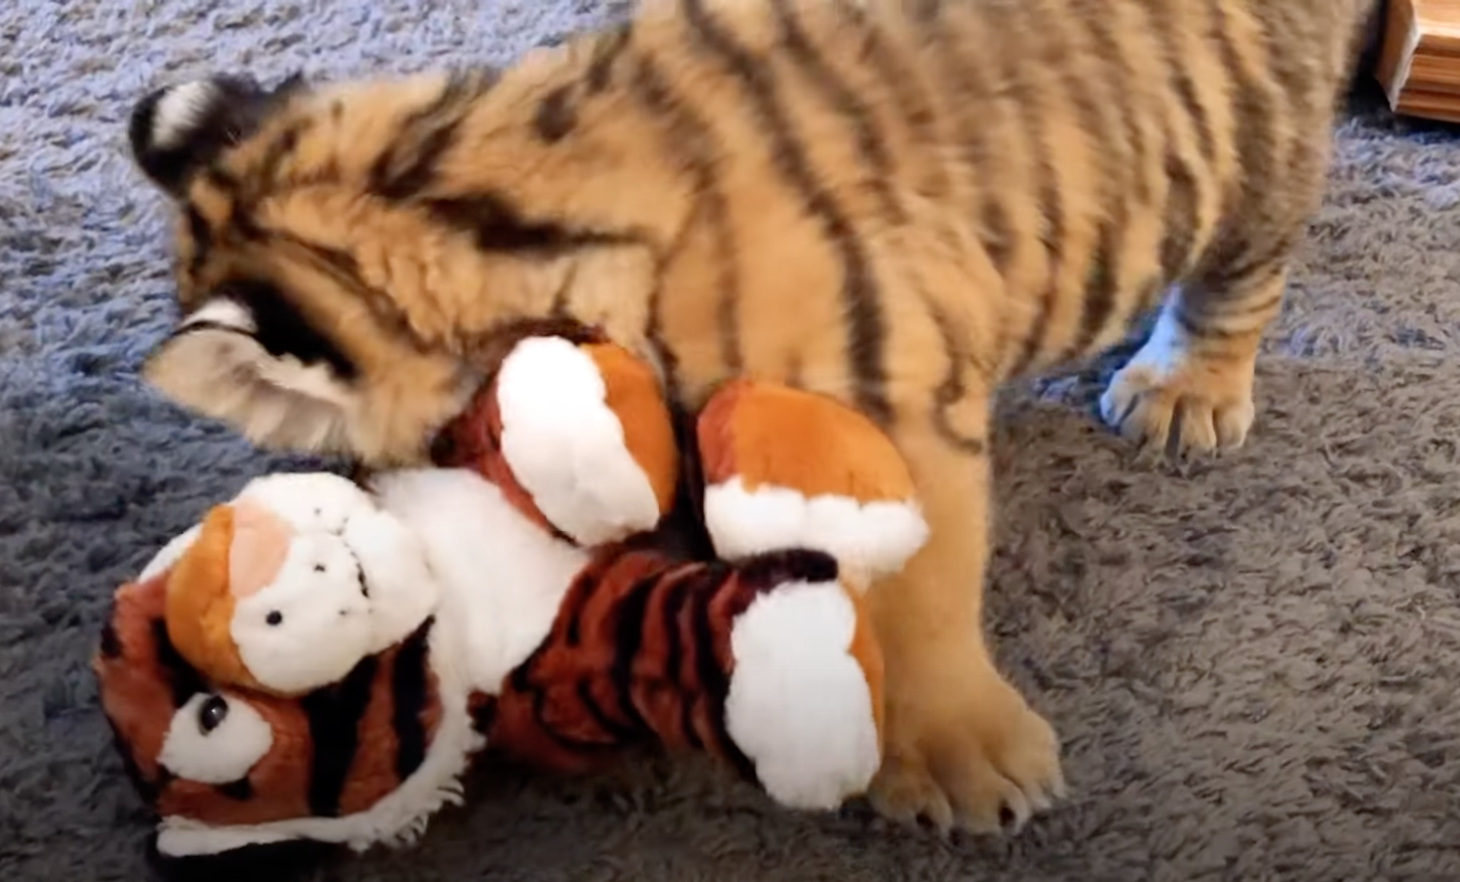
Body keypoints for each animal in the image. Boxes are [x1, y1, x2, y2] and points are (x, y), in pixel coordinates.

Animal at [123, 0, 1379, 834]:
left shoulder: (892, 410)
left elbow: (918, 592)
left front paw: (959, 764)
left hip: (1250, 157)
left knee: (1240, 274)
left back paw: (1183, 392)